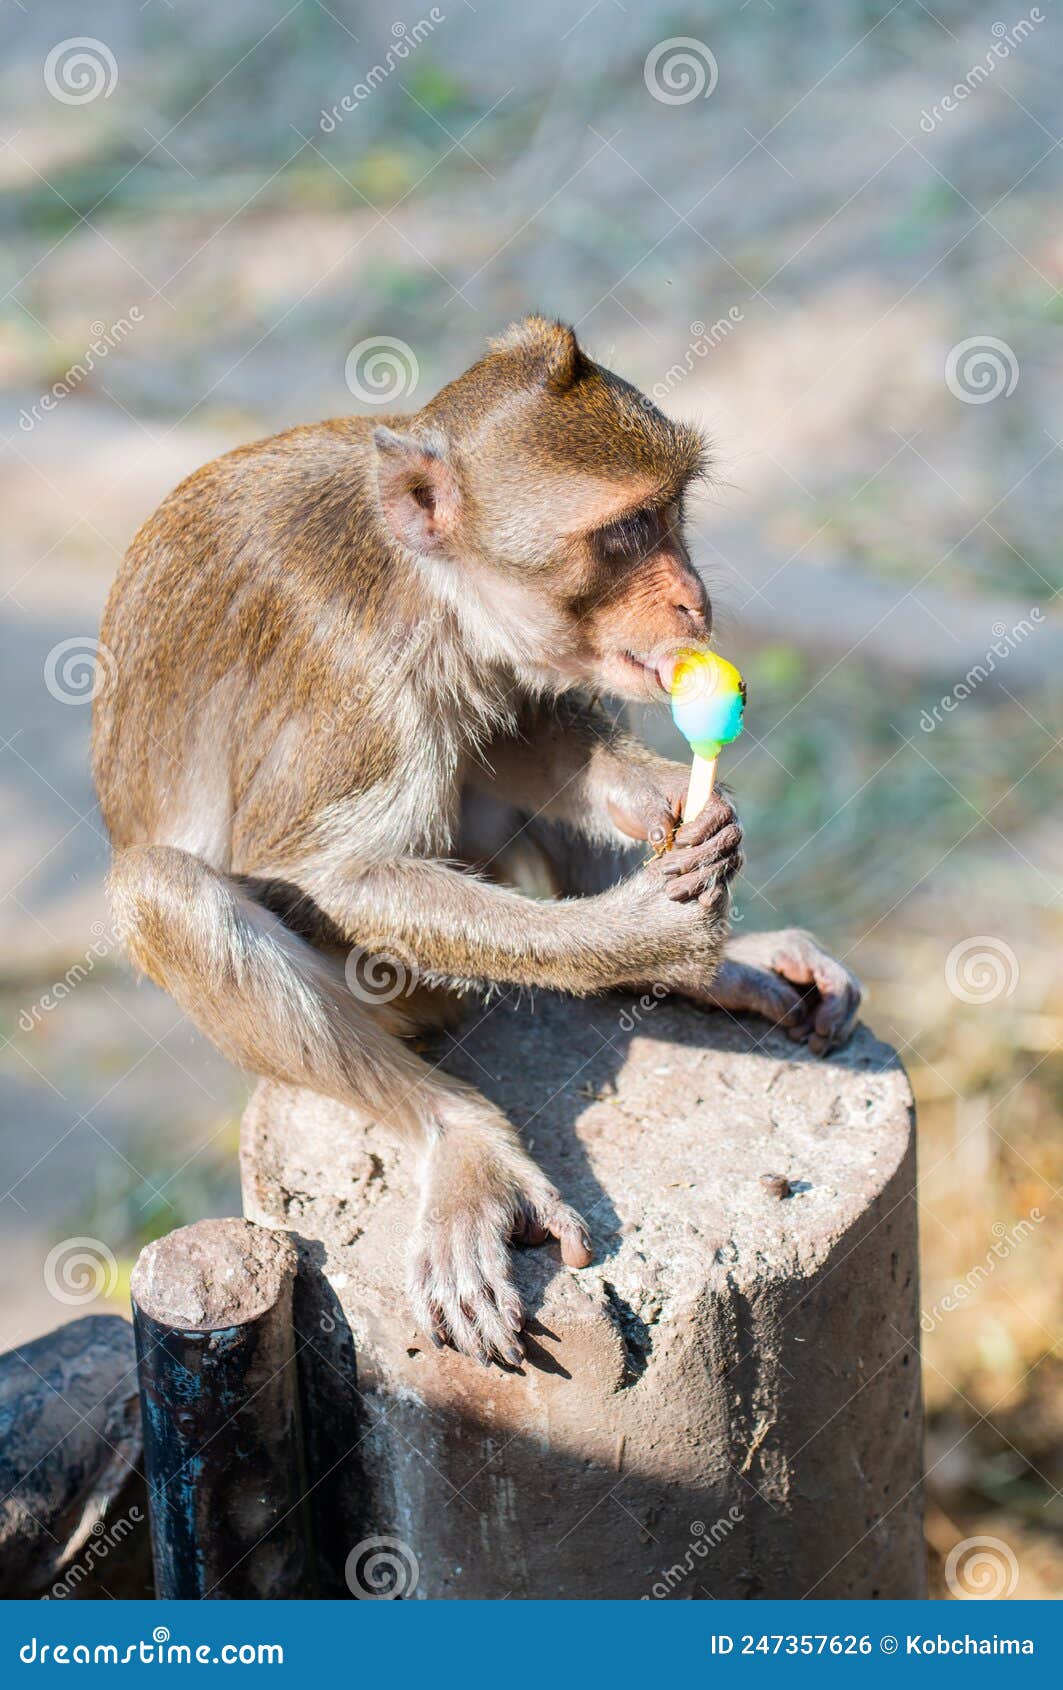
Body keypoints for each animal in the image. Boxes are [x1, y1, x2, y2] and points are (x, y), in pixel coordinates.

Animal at [93, 315, 861, 1367]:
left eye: (672, 513)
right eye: (626, 532)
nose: (693, 603)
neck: (431, 584)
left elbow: (519, 730)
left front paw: (667, 795)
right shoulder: (357, 666)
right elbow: (326, 872)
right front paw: (641, 934)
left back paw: (714, 973)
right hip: (407, 996)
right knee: (161, 888)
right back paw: (460, 1132)